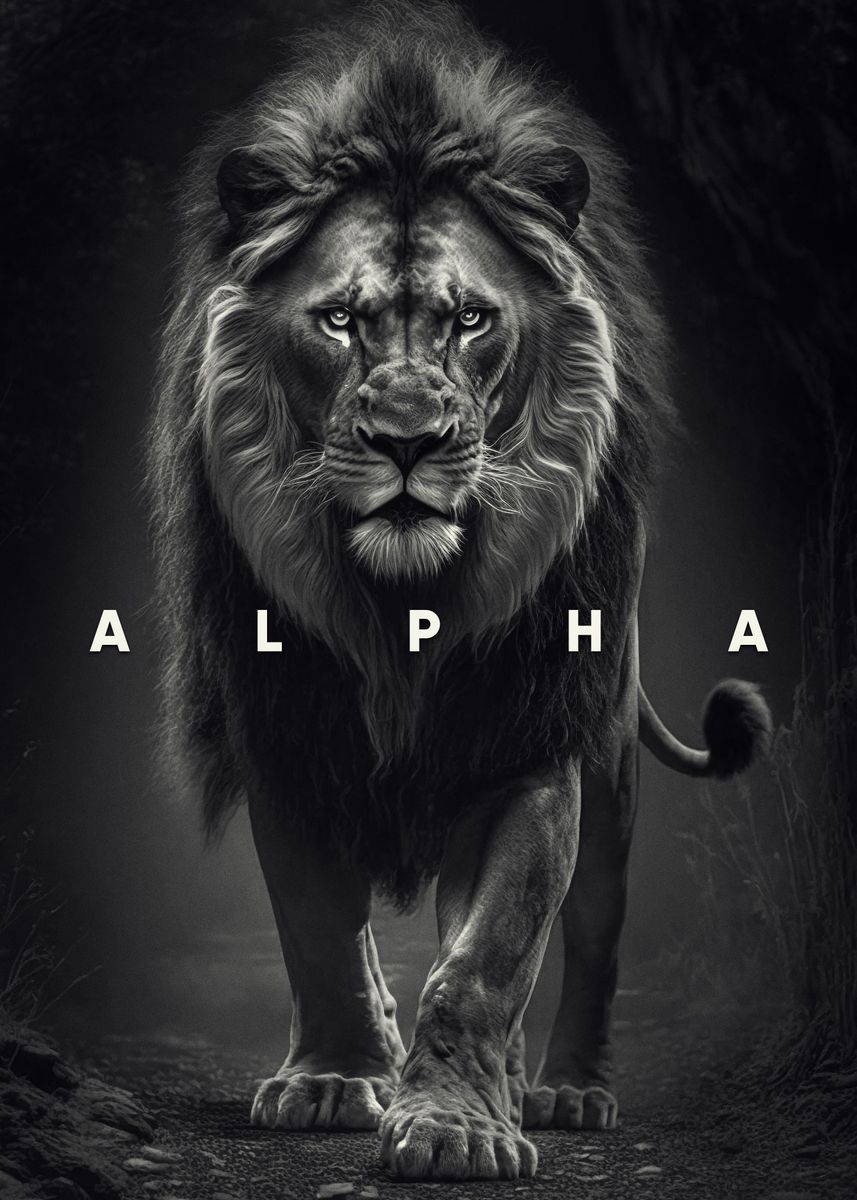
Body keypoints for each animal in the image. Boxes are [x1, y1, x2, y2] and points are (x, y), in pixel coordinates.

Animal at [148, 3, 772, 1182]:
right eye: (339, 321)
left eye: (471, 321)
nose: (408, 440)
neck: (400, 611)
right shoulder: (287, 735)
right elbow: (317, 928)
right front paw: (334, 1079)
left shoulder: (522, 748)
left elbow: (488, 960)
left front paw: (454, 1127)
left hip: (609, 776)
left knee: (591, 937)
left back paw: (562, 1092)